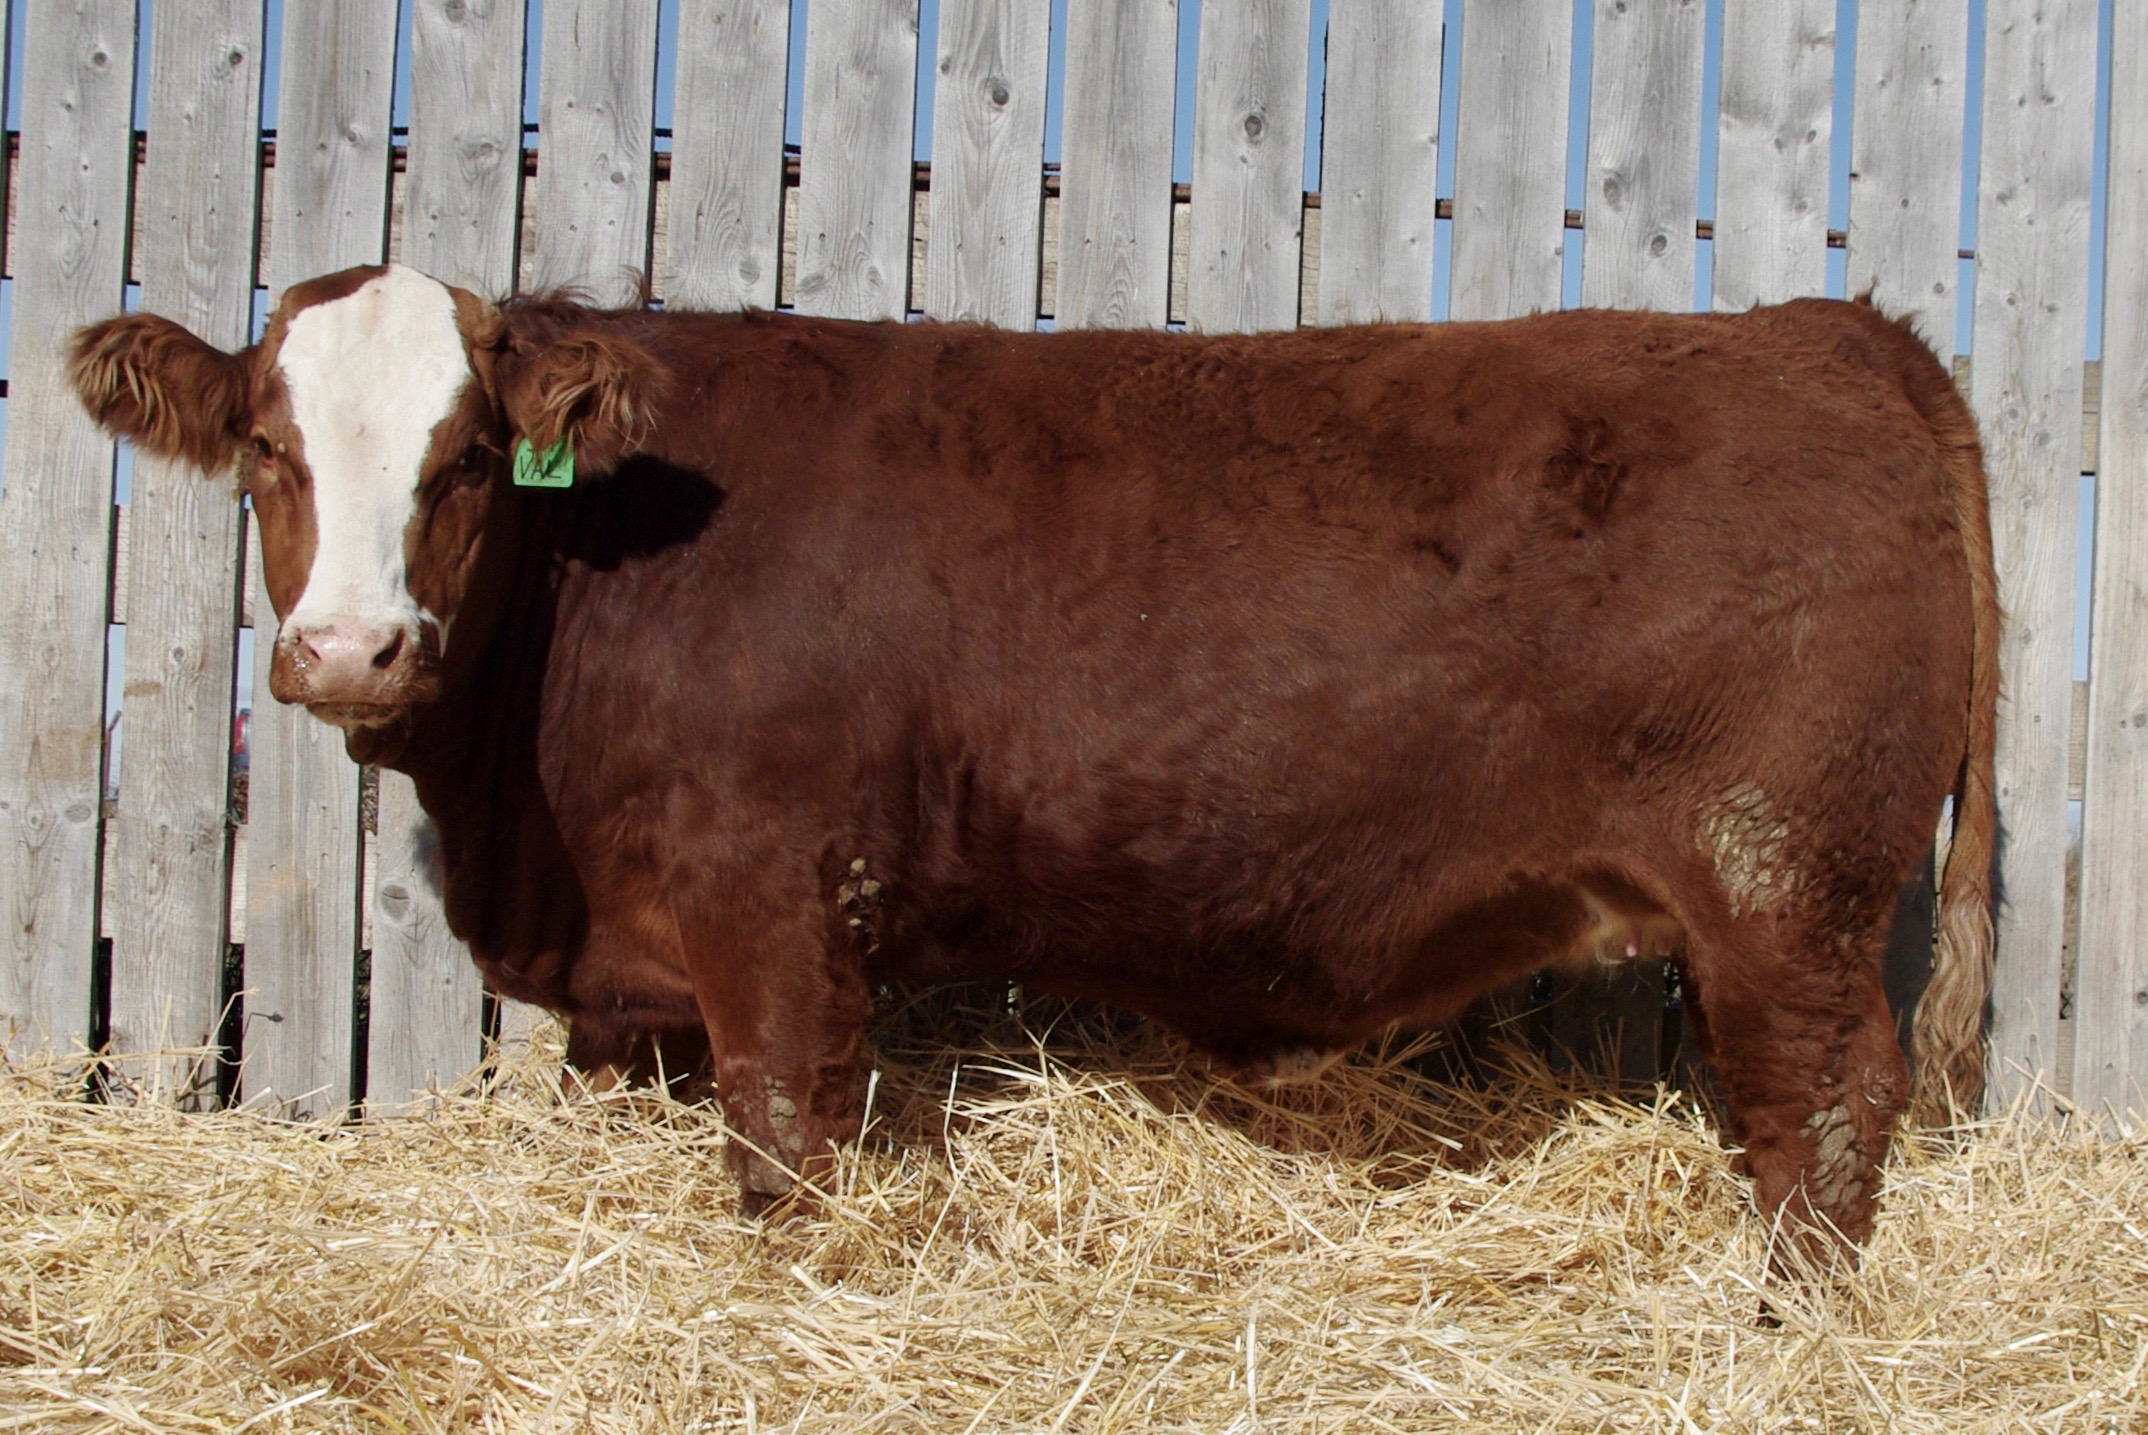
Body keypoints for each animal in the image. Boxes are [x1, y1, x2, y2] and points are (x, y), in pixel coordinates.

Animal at [69, 263, 1997, 1258]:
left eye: (467, 457)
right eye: (265, 447)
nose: (349, 650)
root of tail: (1825, 325)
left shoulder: (777, 912)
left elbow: (787, 1155)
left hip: (1786, 880)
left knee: (1831, 1103)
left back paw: (1784, 1316)